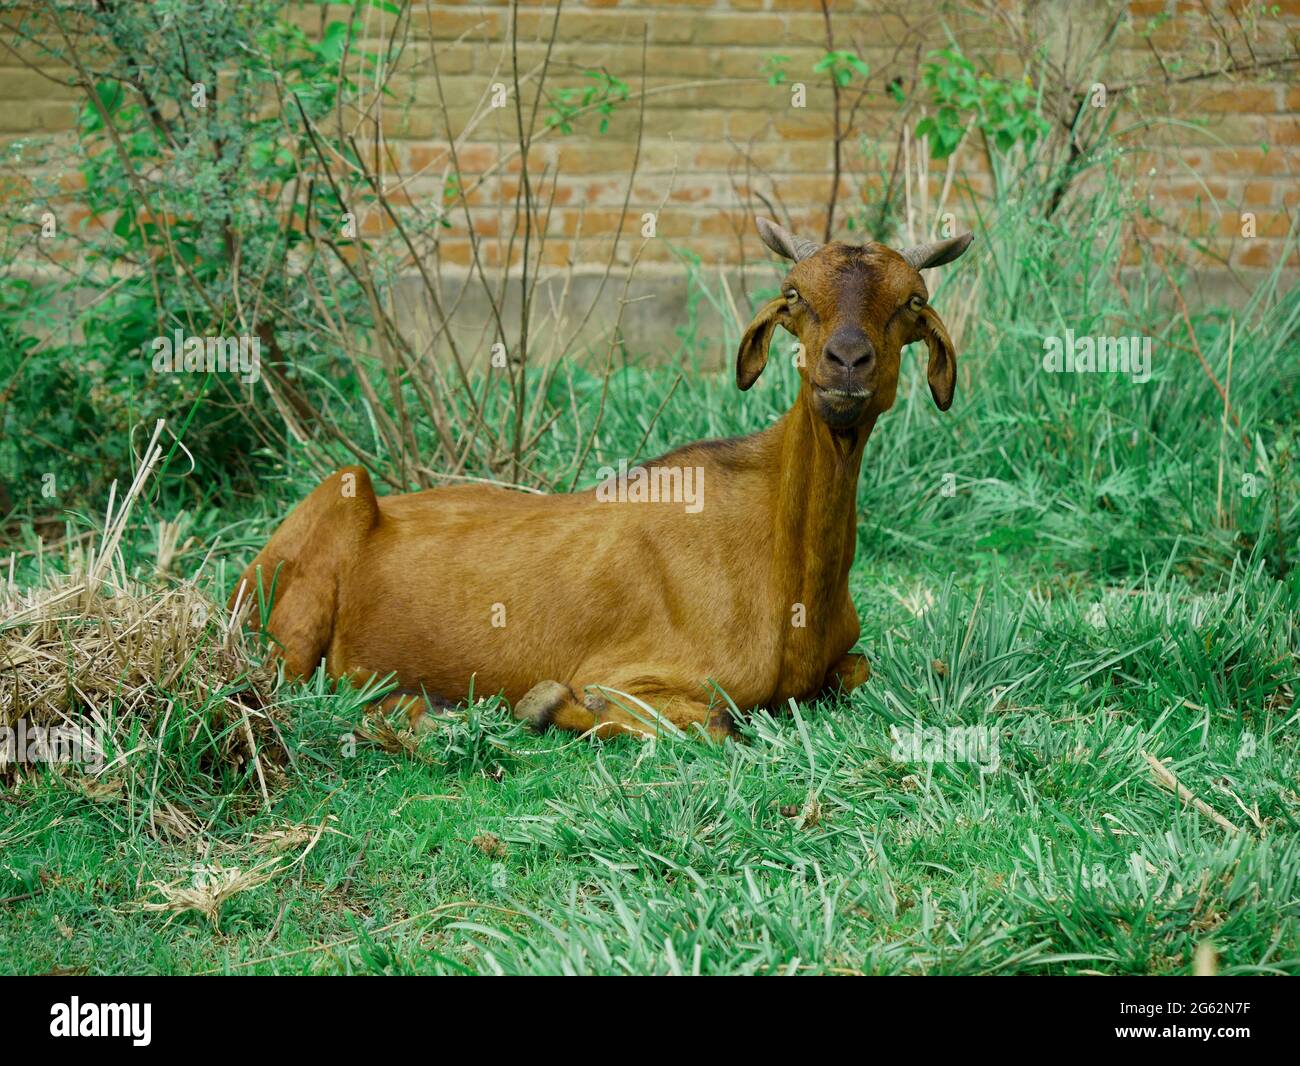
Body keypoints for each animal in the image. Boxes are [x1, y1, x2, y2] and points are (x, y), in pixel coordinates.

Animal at [229, 219, 974, 739]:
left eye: (912, 301)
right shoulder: (631, 673)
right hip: (330, 517)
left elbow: (858, 672)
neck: (787, 564)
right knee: (285, 685)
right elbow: (713, 722)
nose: (846, 362)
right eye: (795, 295)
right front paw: (544, 704)